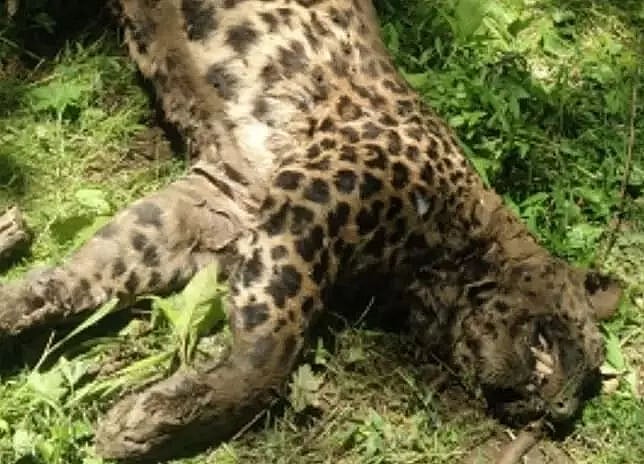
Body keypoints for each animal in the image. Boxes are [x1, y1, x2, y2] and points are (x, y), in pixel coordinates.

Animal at [0, 0, 621, 461]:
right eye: (560, 347)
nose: (558, 413)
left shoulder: (217, 210)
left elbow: (106, 261)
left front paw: (18, 304)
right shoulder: (309, 205)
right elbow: (272, 349)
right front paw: (149, 422)